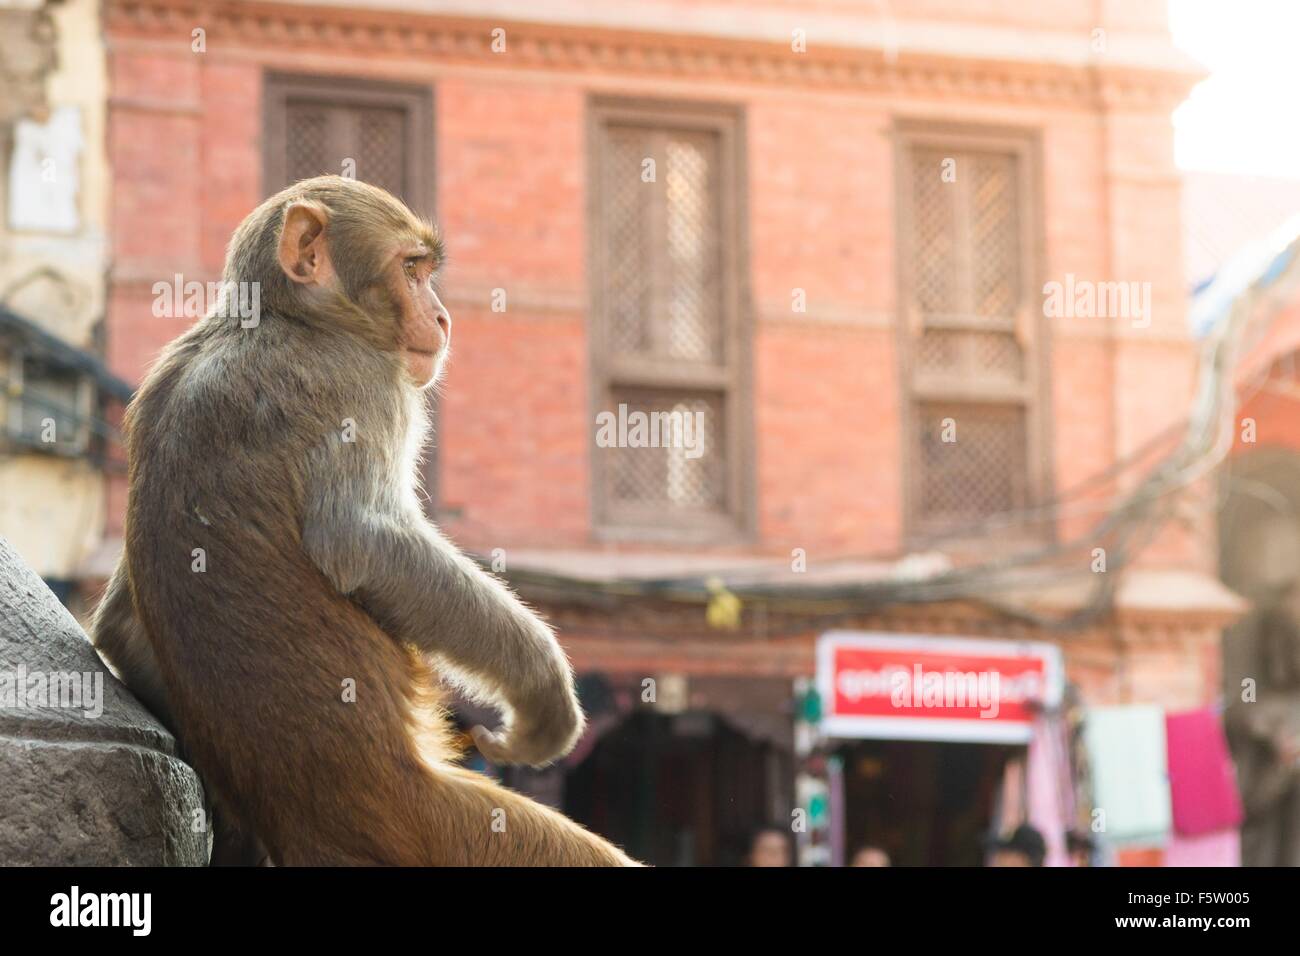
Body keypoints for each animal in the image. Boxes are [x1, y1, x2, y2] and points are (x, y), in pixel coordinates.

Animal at [91, 175, 637, 866]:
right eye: (410, 270)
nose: (443, 317)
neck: (282, 319)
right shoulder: (363, 381)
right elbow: (359, 540)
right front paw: (544, 690)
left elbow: (116, 626)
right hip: (447, 828)